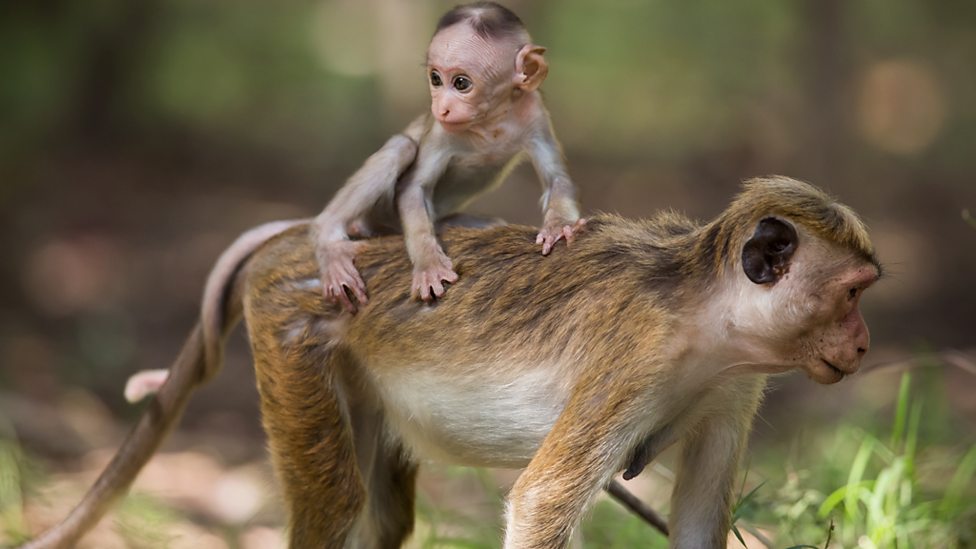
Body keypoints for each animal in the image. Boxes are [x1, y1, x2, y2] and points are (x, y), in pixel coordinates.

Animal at [21, 176, 880, 549]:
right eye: (851, 295)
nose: (865, 343)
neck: (705, 310)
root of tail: (301, 244)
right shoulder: (635, 355)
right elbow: (540, 503)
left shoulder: (739, 385)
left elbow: (699, 521)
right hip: (290, 329)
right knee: (336, 502)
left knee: (380, 513)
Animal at [312, 1, 584, 311]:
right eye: (435, 79)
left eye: (461, 83)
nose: (440, 107)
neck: (490, 120)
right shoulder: (442, 130)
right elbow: (414, 189)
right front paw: (429, 265)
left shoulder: (534, 111)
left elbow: (557, 178)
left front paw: (558, 226)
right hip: (378, 214)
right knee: (401, 147)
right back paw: (329, 244)